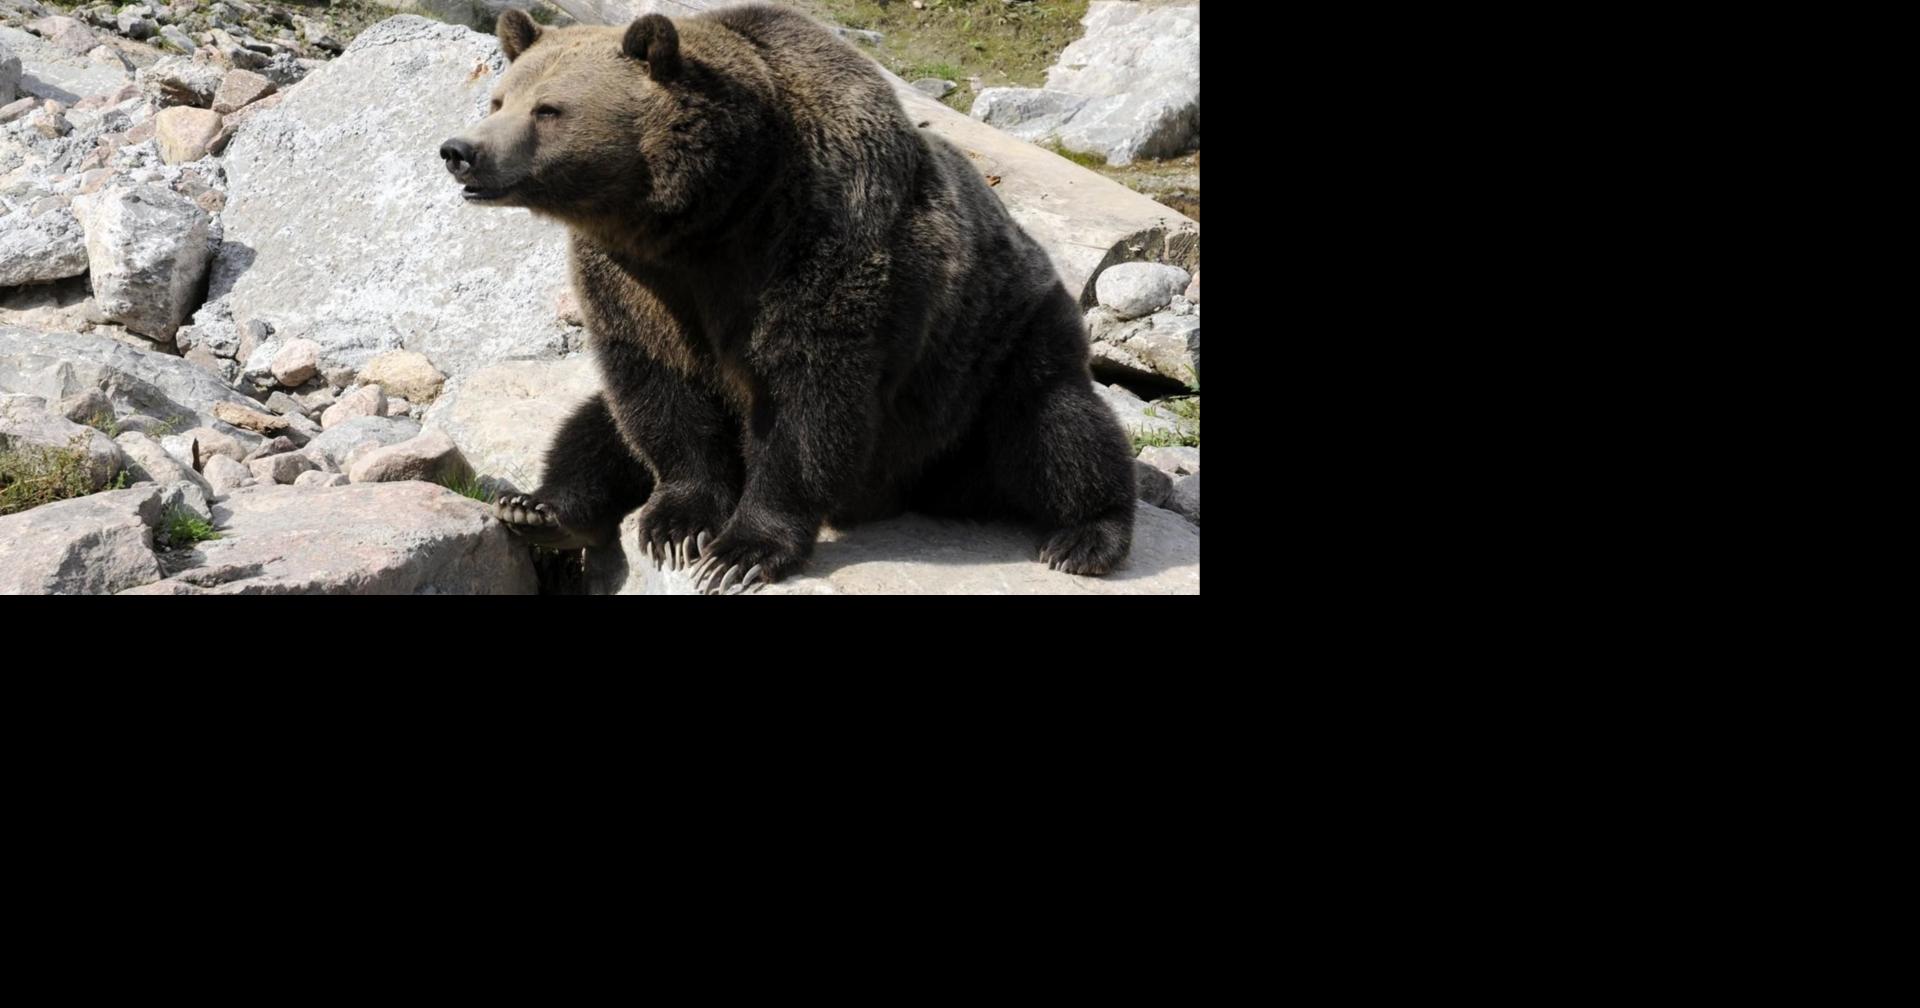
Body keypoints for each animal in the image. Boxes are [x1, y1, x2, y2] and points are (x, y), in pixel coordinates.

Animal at [439, 4, 1138, 590]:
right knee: (594, 424)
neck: (710, 213)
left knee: (1058, 428)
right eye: (499, 98)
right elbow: (654, 391)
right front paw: (679, 524)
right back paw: (537, 508)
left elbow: (806, 398)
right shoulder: (635, 282)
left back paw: (1084, 538)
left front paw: (742, 551)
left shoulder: (819, 238)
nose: (460, 150)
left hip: (997, 352)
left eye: (548, 109)